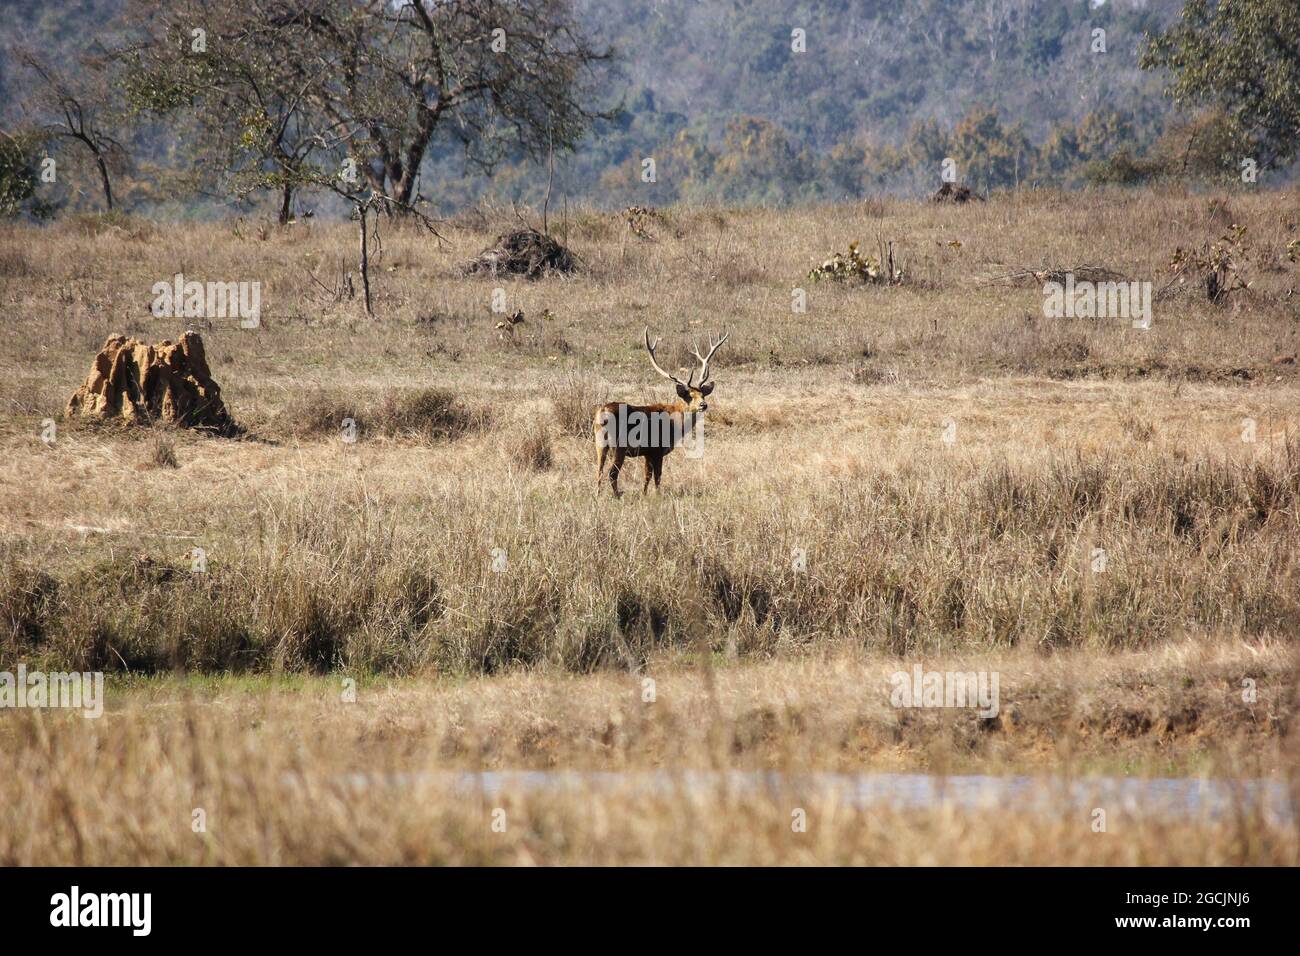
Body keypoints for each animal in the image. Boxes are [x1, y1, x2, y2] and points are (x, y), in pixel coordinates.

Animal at [594, 327, 729, 496]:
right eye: (690, 396)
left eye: (703, 395)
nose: (703, 405)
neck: (675, 425)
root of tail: (602, 413)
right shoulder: (656, 449)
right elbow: (657, 475)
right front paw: (658, 495)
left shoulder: (647, 453)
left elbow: (647, 476)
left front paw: (644, 494)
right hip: (619, 444)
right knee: (612, 473)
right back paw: (617, 496)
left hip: (599, 444)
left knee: (598, 470)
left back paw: (597, 495)